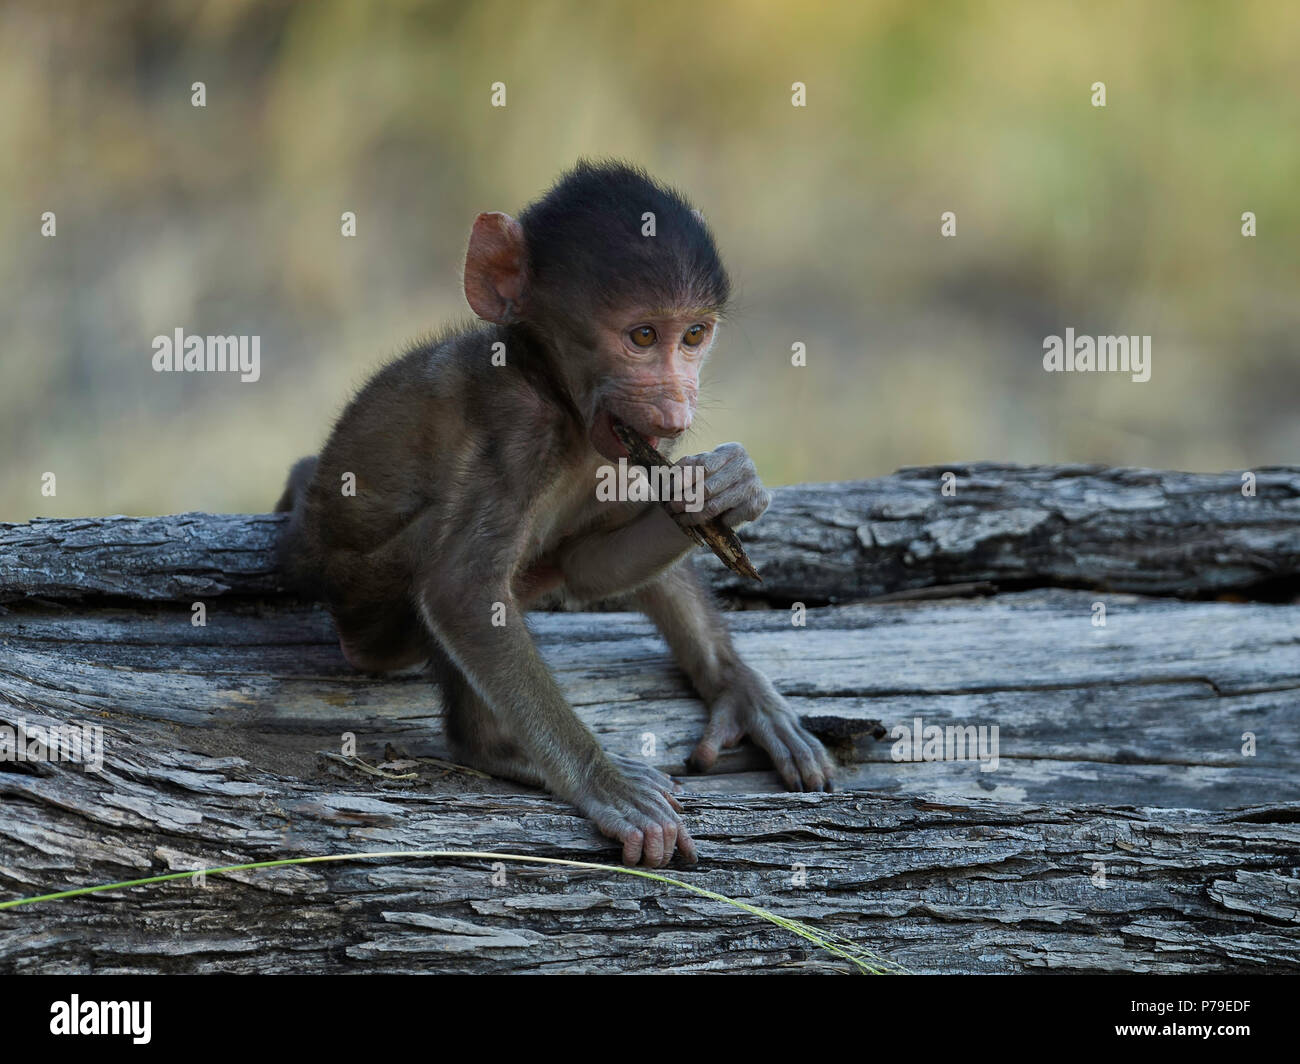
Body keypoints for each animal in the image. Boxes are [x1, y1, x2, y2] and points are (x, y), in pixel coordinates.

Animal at [276, 161, 835, 868]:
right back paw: (497, 750)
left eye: (694, 336)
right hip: (364, 608)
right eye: (643, 336)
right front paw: (604, 782)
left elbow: (589, 563)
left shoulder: (623, 446)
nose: (678, 408)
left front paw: (729, 486)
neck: (553, 390)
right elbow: (462, 592)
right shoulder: (519, 432)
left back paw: (737, 689)